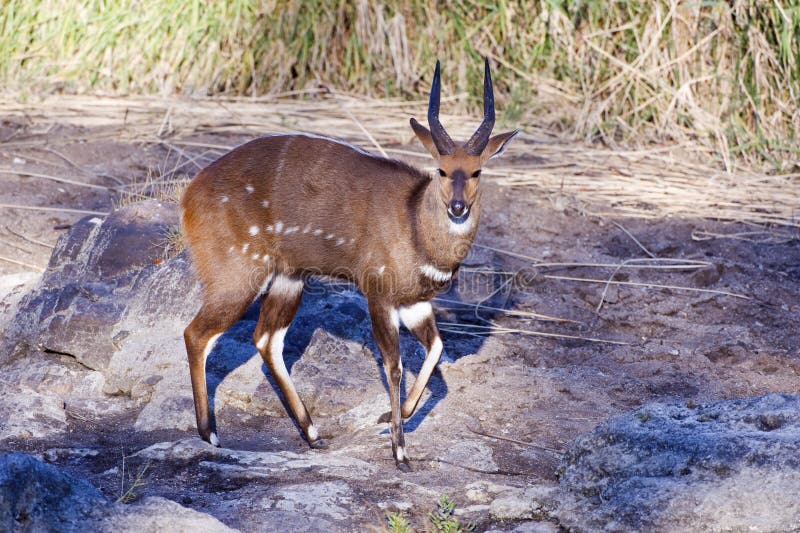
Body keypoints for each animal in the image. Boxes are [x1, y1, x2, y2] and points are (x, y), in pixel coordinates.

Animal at [180, 58, 518, 471]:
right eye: (440, 169)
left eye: (476, 171)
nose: (457, 208)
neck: (416, 228)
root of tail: (187, 196)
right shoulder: (378, 293)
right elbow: (394, 365)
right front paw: (400, 452)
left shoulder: (415, 303)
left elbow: (437, 349)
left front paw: (390, 418)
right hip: (237, 274)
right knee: (197, 334)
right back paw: (210, 434)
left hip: (289, 278)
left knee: (265, 339)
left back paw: (313, 435)